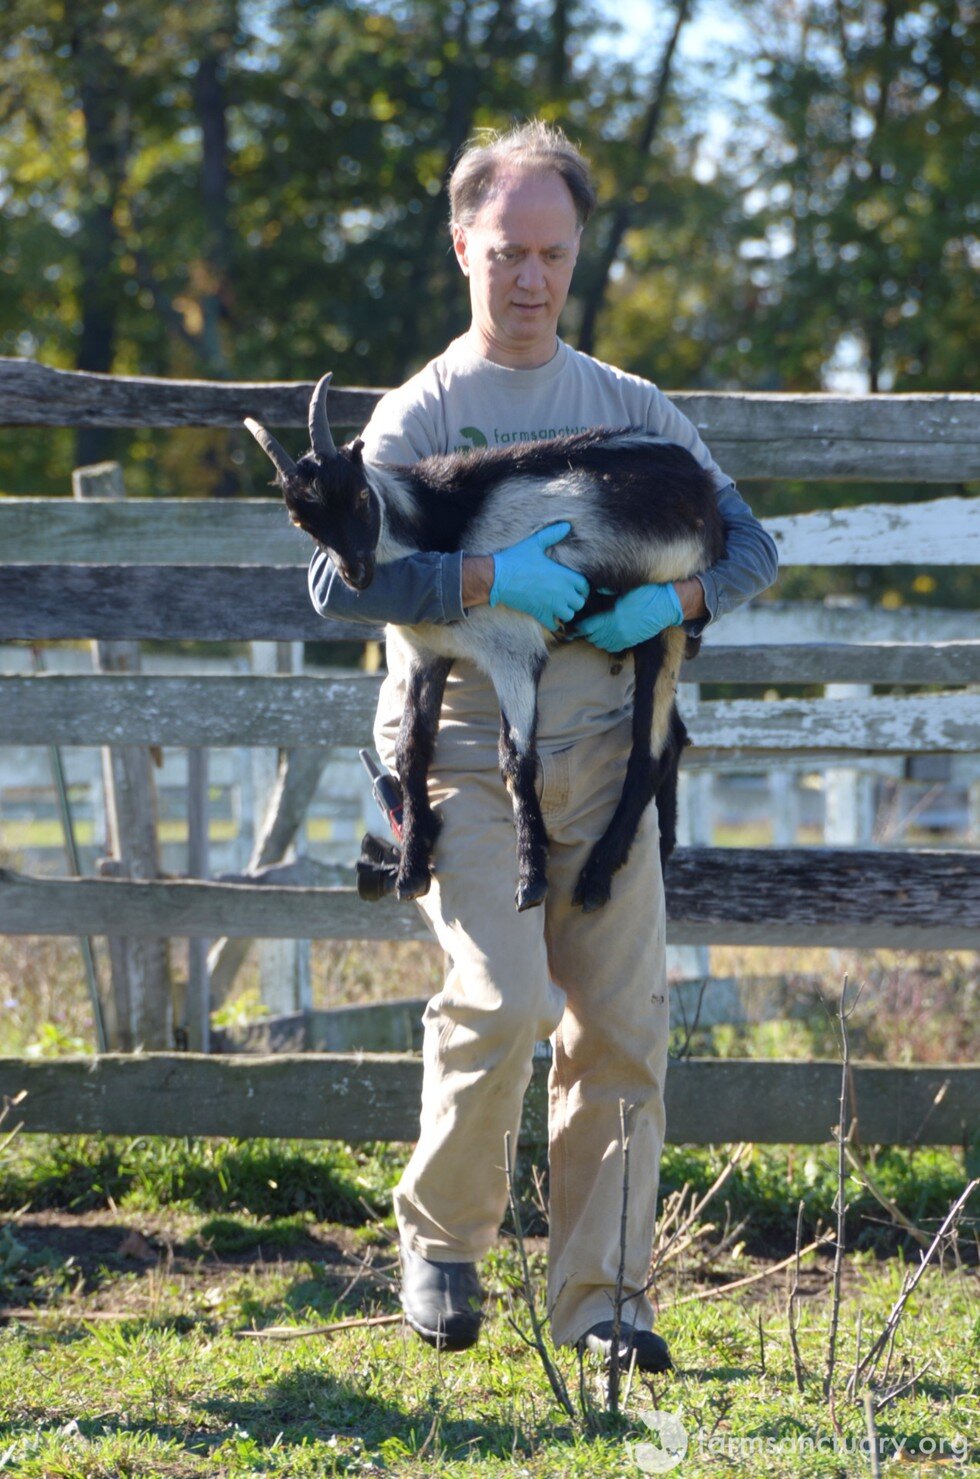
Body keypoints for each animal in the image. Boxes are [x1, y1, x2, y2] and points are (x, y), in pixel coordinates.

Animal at [245, 374, 725, 913]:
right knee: (676, 738)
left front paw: (531, 880)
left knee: (651, 751)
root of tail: (704, 489)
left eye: (361, 498)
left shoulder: (512, 651)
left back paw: (597, 876)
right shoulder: (427, 655)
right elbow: (411, 750)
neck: (438, 526)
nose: (357, 574)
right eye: (302, 522)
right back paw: (660, 849)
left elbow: (516, 760)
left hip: (664, 619)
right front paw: (411, 871)